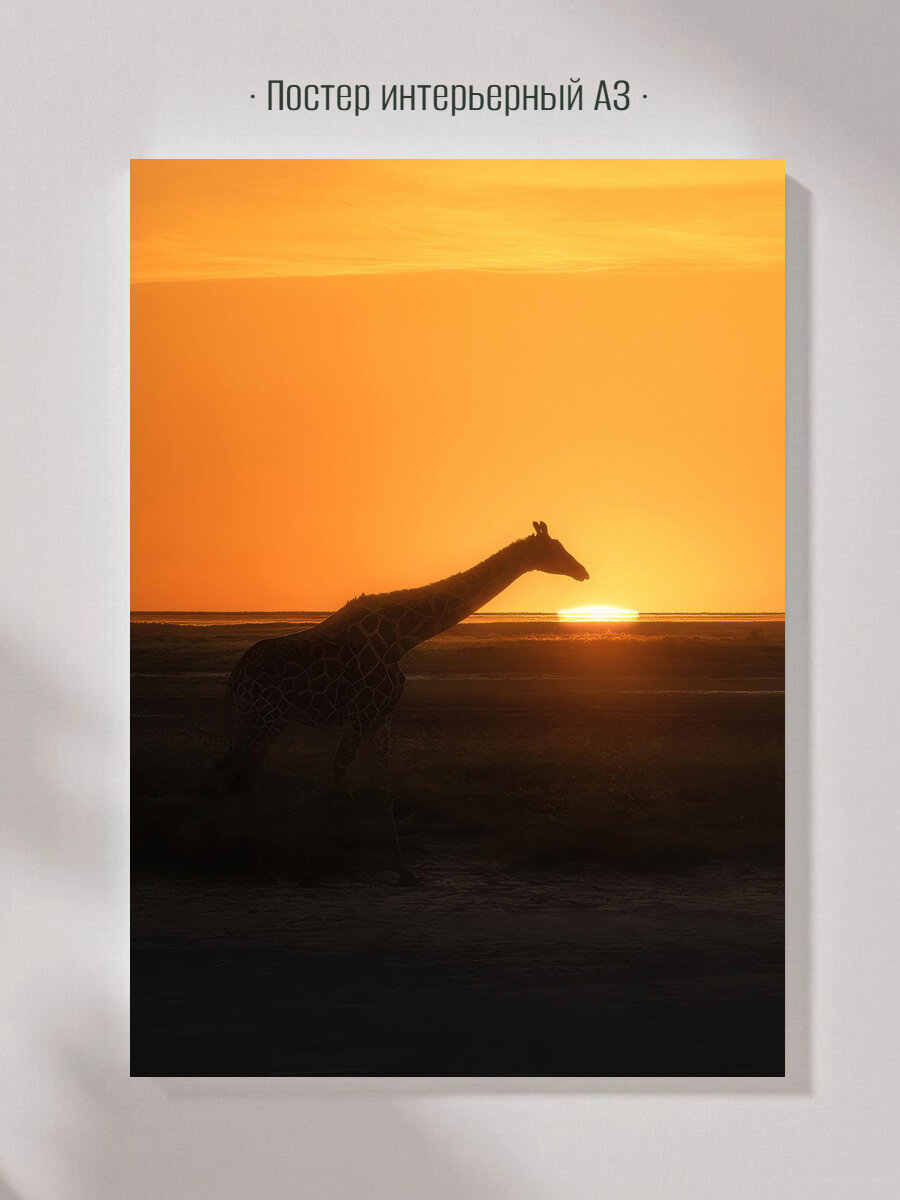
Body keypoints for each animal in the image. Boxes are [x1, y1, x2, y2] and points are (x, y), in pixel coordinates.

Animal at [219, 521, 589, 883]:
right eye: (555, 548)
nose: (583, 572)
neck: (402, 637)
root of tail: (234, 680)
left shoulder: (382, 717)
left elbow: (385, 789)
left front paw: (402, 867)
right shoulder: (359, 713)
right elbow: (337, 781)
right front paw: (326, 861)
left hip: (269, 721)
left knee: (242, 776)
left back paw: (248, 856)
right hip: (263, 719)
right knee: (241, 778)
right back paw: (253, 861)